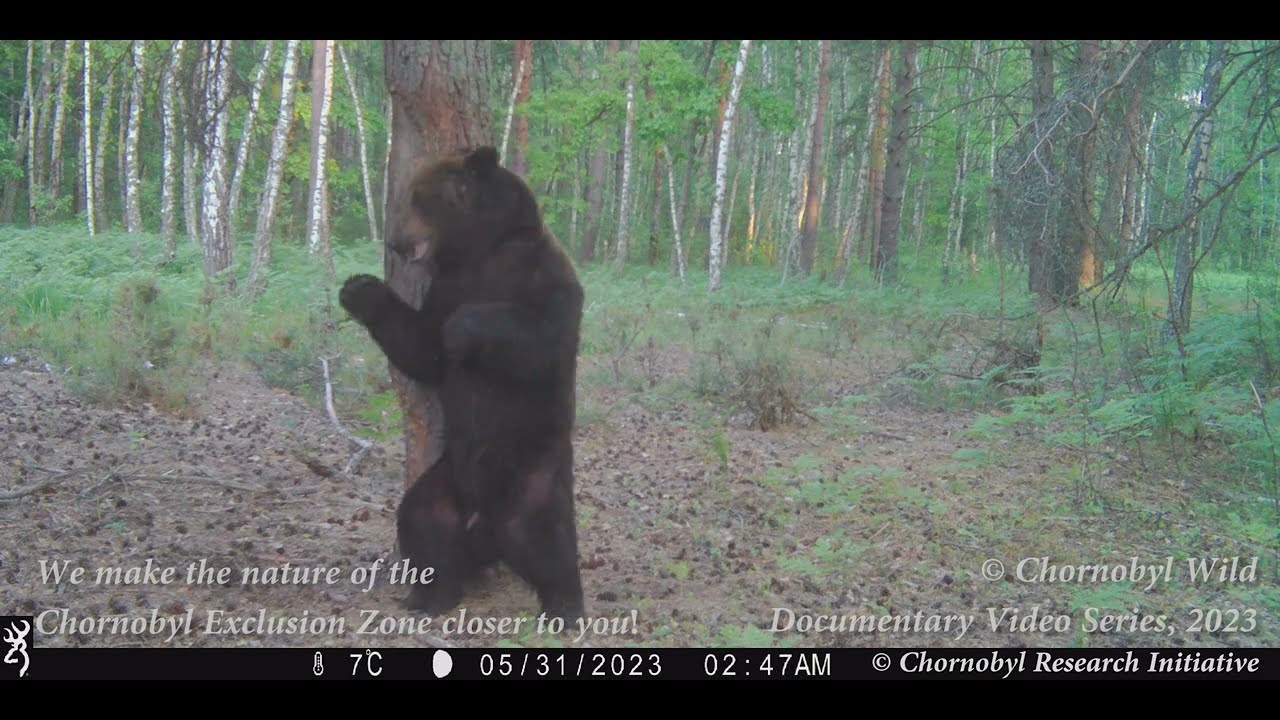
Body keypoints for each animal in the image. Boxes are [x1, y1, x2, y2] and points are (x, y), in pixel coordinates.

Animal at [339, 146, 585, 622]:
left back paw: (565, 606)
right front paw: (359, 288)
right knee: (422, 523)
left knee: (545, 536)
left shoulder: (542, 273)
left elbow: (541, 337)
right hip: (446, 478)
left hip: (534, 472)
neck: (479, 251)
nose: (396, 243)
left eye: (419, 198)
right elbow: (423, 348)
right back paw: (429, 596)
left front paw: (462, 329)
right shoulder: (445, 286)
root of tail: (483, 518)